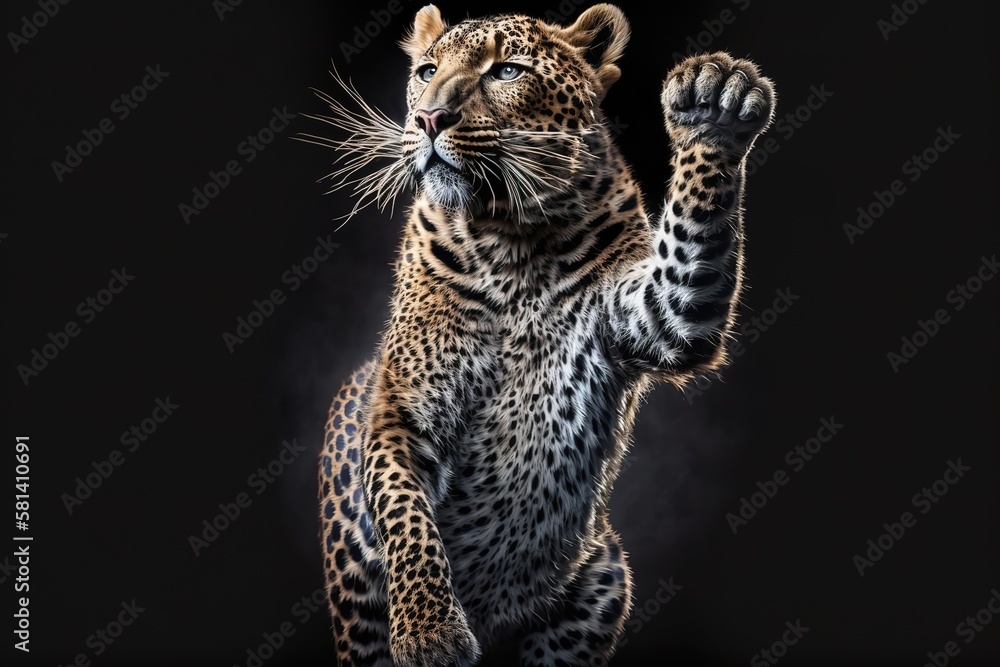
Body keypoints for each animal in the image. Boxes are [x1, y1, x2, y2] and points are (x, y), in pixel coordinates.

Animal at [314, 4, 775, 665]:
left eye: (506, 71)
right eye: (427, 70)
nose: (430, 117)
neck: (510, 243)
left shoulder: (659, 313)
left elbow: (690, 250)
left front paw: (711, 105)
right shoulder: (404, 408)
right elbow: (405, 513)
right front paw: (430, 631)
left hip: (601, 578)